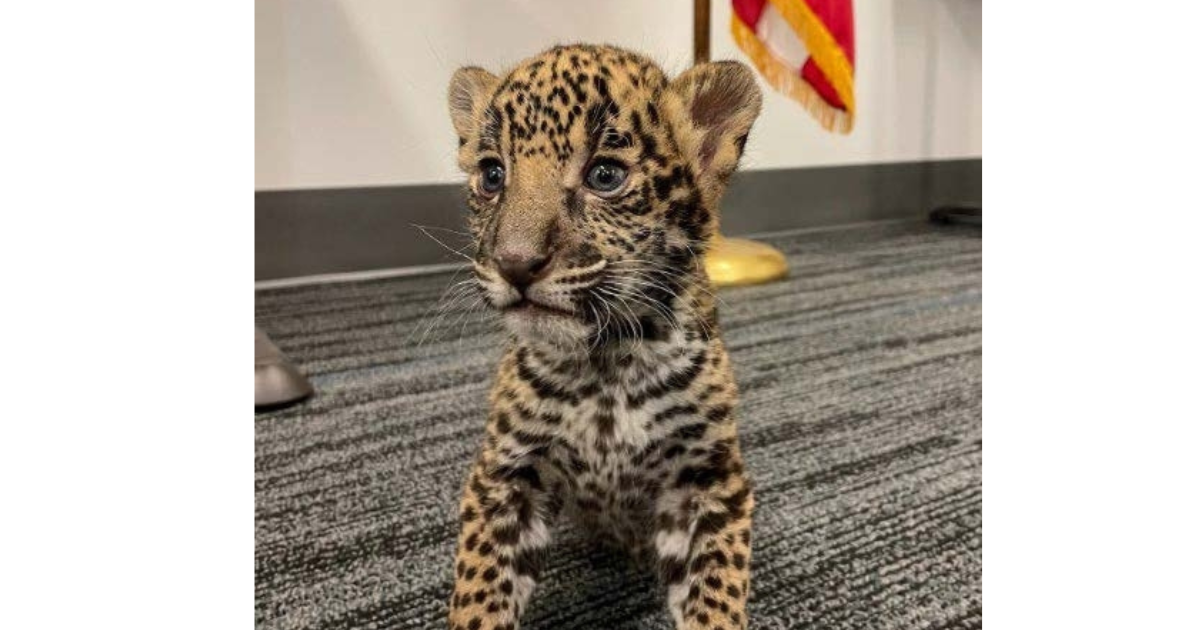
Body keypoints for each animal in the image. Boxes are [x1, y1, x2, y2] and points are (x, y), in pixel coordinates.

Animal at [445, 44, 762, 630]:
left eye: (606, 175)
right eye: (492, 174)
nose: (514, 264)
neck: (607, 362)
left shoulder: (708, 478)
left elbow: (715, 594)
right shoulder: (505, 474)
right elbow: (480, 593)